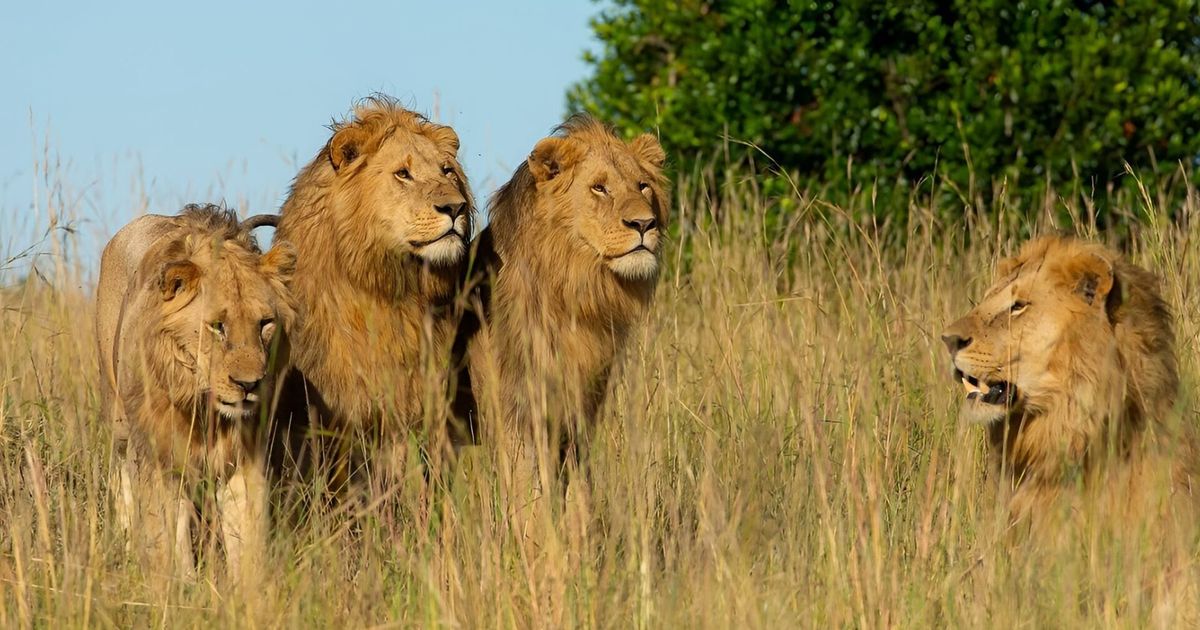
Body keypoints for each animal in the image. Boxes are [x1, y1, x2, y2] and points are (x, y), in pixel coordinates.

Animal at [96, 204, 294, 579]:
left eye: (265, 323)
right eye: (217, 327)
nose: (249, 385)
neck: (202, 406)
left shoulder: (243, 456)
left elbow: (247, 536)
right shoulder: (157, 455)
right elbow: (161, 534)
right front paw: (172, 586)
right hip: (119, 423)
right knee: (122, 484)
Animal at [457, 114, 668, 488]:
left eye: (643, 186)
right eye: (599, 188)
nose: (645, 223)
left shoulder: (579, 414)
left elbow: (578, 490)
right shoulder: (513, 414)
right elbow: (527, 492)